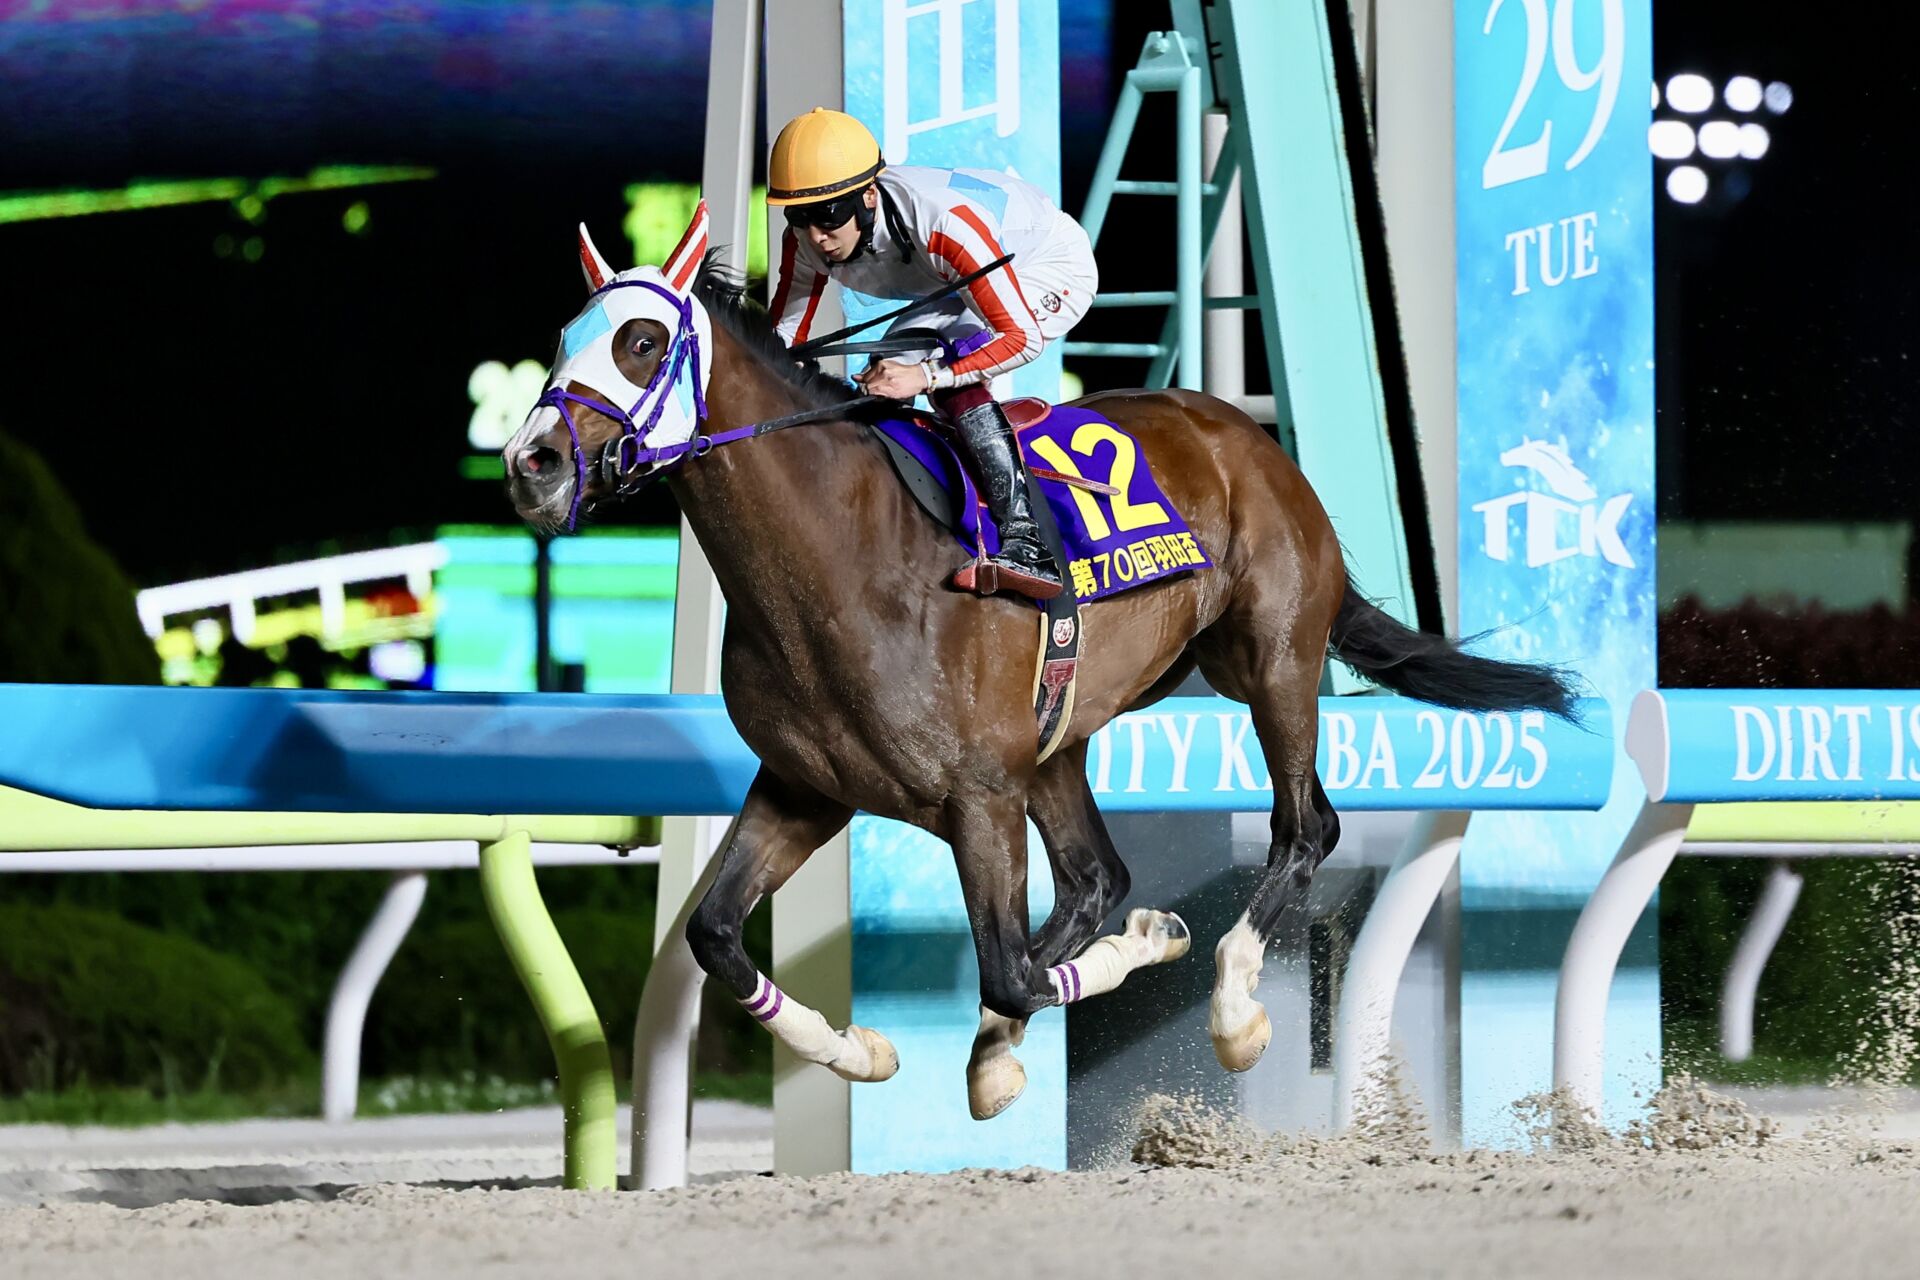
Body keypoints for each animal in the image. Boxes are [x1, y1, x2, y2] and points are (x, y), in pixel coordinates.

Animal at [503, 218, 1575, 1120]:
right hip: (1063, 733)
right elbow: (716, 935)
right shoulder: (809, 787)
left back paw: (1229, 1008)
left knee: (1303, 830)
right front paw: (863, 1051)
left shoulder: (978, 796)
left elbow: (1009, 967)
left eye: (642, 341)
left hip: (1270, 663)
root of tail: (1253, 443)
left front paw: (1152, 946)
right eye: (561, 335)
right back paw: (1011, 1040)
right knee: (1096, 876)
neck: (842, 561)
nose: (532, 463)